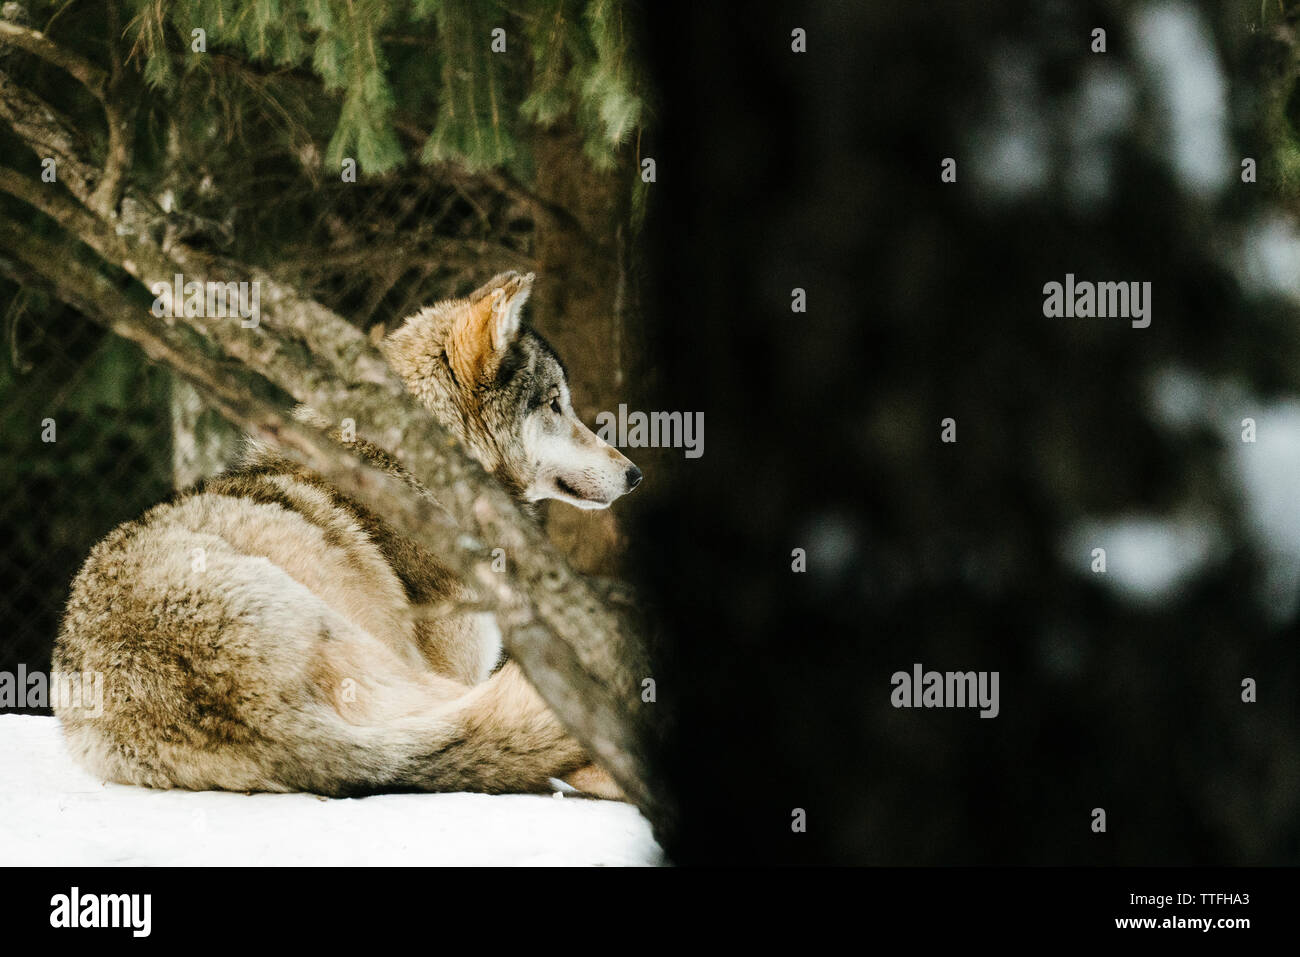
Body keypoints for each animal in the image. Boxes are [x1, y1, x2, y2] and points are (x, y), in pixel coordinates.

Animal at [53, 271, 640, 799]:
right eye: (555, 405)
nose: (634, 474)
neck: (415, 471)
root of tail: (274, 728)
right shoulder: (458, 666)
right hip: (390, 661)